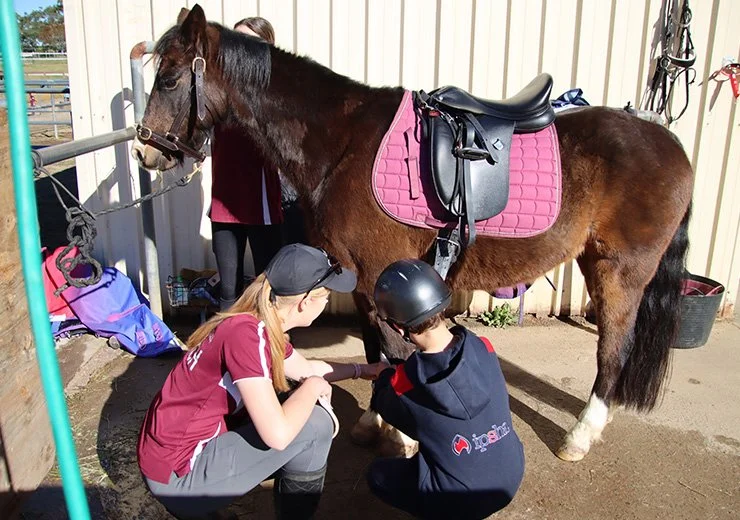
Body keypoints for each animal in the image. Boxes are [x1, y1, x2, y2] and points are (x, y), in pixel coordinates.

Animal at [133, 5, 694, 462]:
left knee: (613, 348)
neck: (340, 145)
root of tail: (667, 138)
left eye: (170, 79)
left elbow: (395, 352)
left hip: (619, 271)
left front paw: (403, 434)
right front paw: (373, 422)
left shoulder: (380, 276)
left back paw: (580, 435)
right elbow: (372, 350)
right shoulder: (357, 280)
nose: (143, 151)